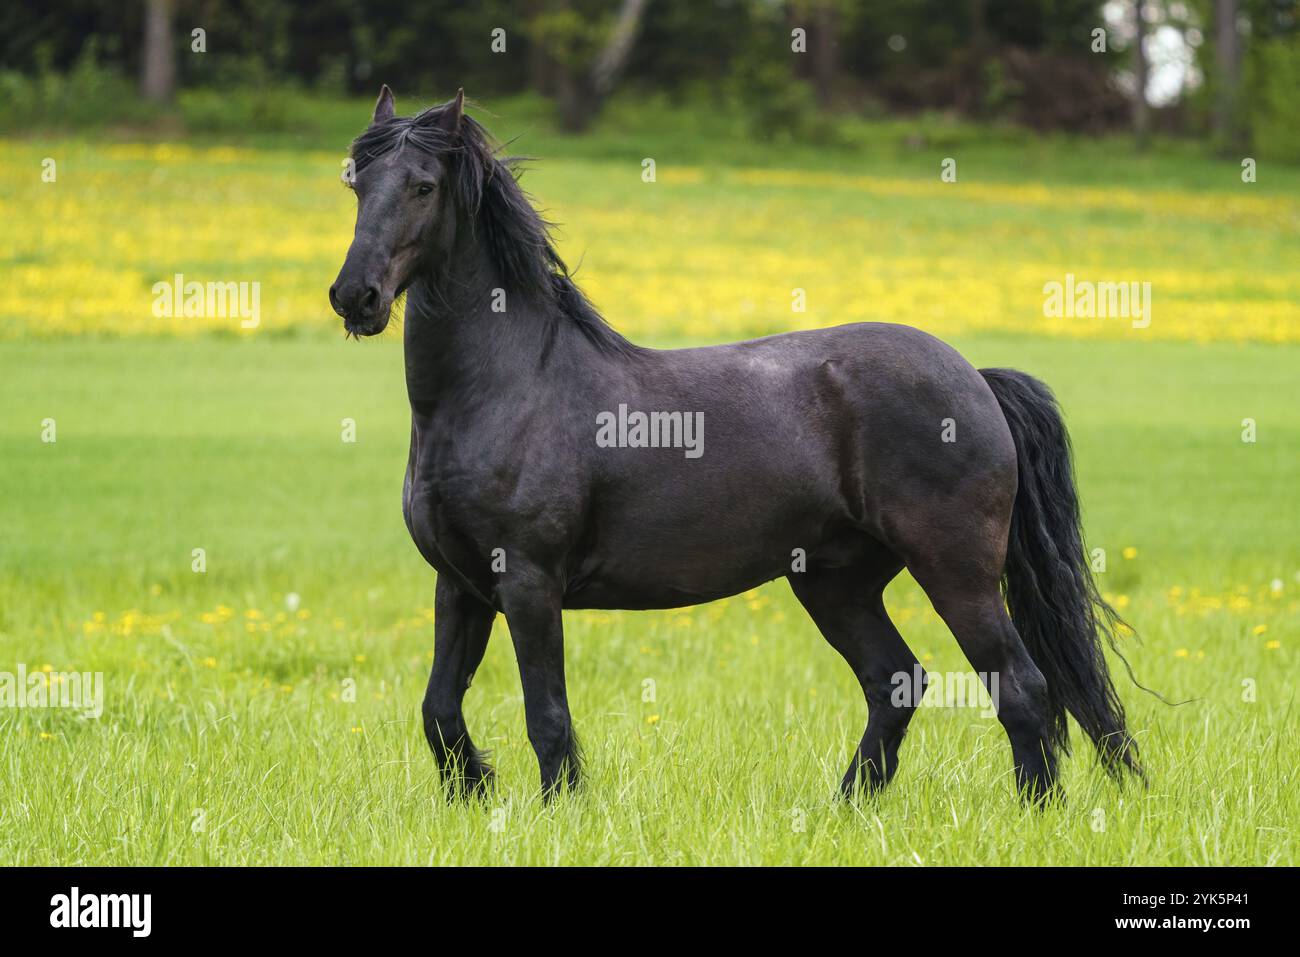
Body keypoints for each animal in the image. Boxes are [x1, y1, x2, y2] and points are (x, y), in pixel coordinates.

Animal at [329, 87, 1143, 804]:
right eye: (356, 182)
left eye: (424, 186)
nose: (354, 297)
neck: (507, 386)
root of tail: (974, 378)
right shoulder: (461, 585)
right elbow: (439, 709)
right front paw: (474, 789)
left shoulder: (529, 583)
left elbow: (547, 717)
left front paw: (558, 810)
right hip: (835, 580)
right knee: (896, 682)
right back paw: (846, 807)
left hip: (956, 571)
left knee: (1020, 685)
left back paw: (1035, 809)